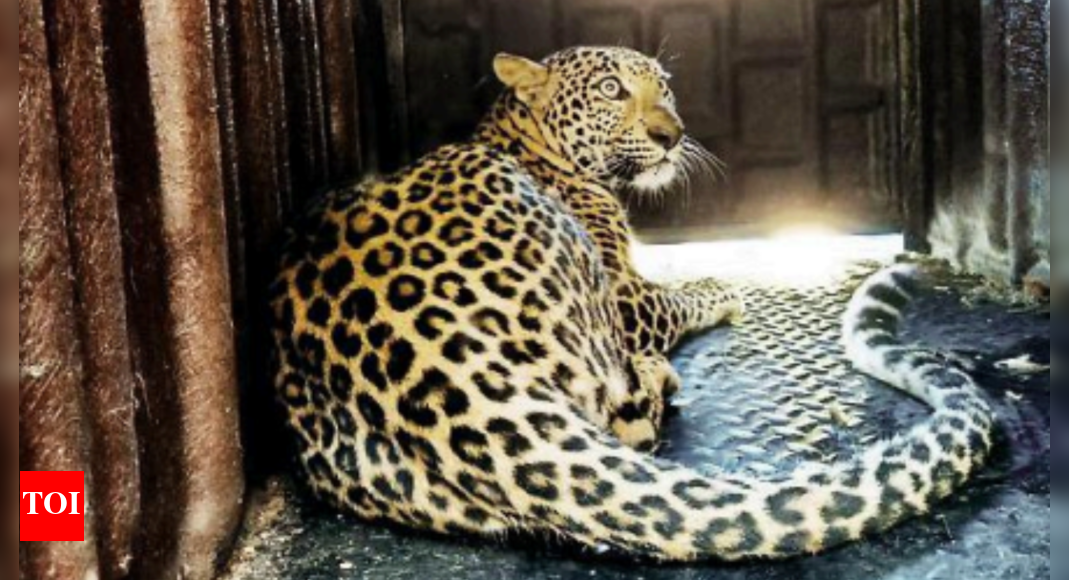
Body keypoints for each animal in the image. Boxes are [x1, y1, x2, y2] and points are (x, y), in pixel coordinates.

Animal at [268, 46, 995, 561]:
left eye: (663, 86)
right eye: (610, 89)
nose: (672, 134)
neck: (524, 141)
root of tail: (450, 383)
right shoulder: (623, 298)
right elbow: (680, 298)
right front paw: (720, 291)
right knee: (629, 420)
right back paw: (658, 377)